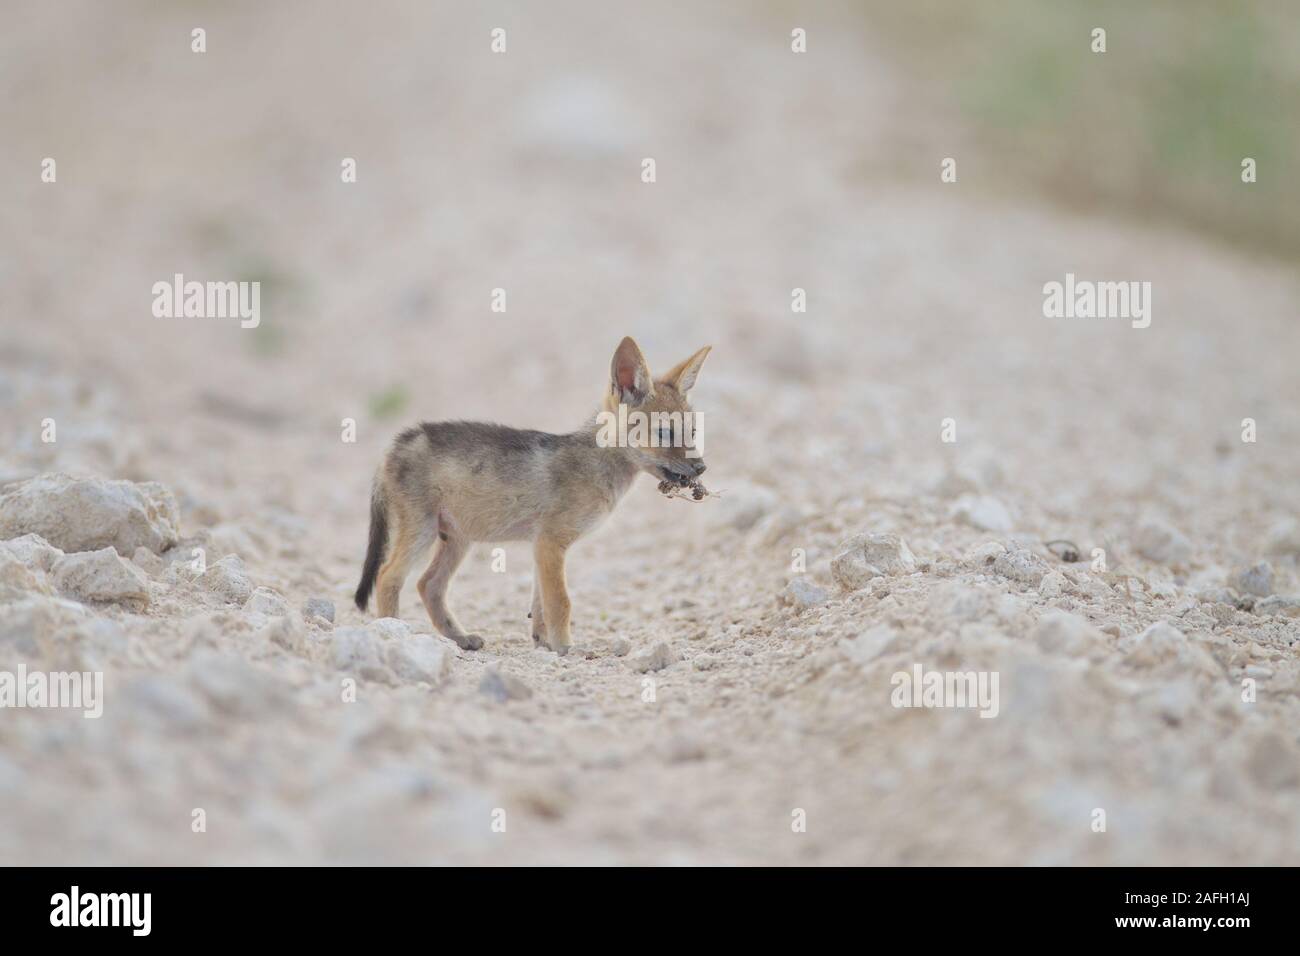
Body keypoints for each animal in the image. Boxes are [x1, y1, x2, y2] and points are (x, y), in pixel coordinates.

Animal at [353, 336, 711, 656]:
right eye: (664, 433)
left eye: (692, 431)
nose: (701, 467)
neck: (596, 462)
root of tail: (394, 444)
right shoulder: (551, 543)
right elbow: (561, 602)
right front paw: (567, 648)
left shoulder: (541, 546)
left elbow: (540, 607)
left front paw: (545, 644)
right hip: (423, 533)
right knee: (388, 577)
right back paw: (394, 633)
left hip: (456, 541)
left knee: (429, 585)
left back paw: (461, 638)